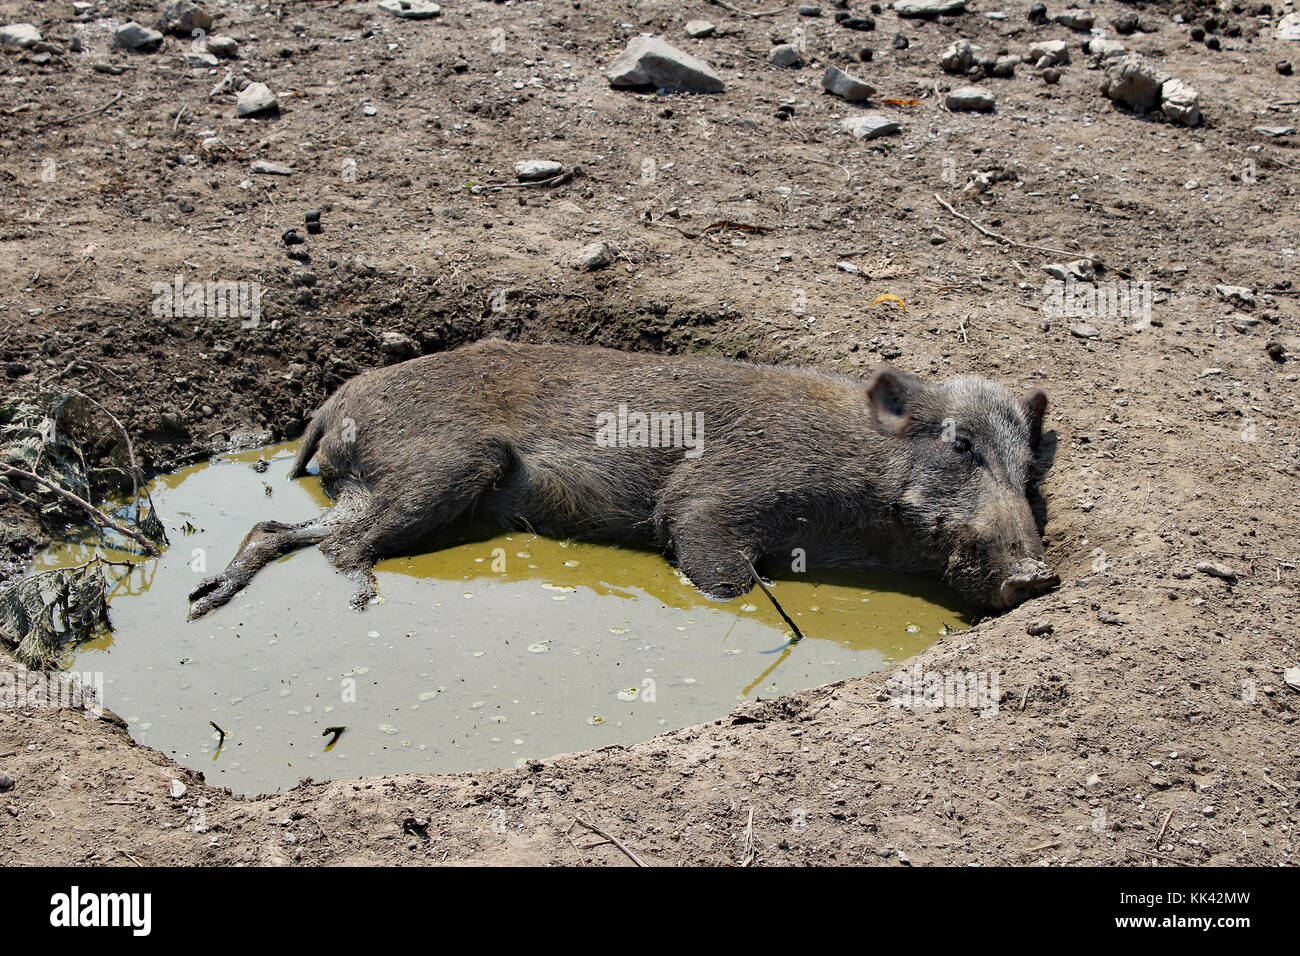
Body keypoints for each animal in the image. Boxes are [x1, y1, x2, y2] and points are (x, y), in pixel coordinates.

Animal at [188, 339, 1058, 620]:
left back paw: (205, 599)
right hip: (436, 469)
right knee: (337, 547)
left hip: (402, 484)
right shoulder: (711, 502)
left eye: (1027, 472)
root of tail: (336, 400)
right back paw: (361, 596)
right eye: (959, 446)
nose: (1038, 574)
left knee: (282, 529)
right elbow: (721, 572)